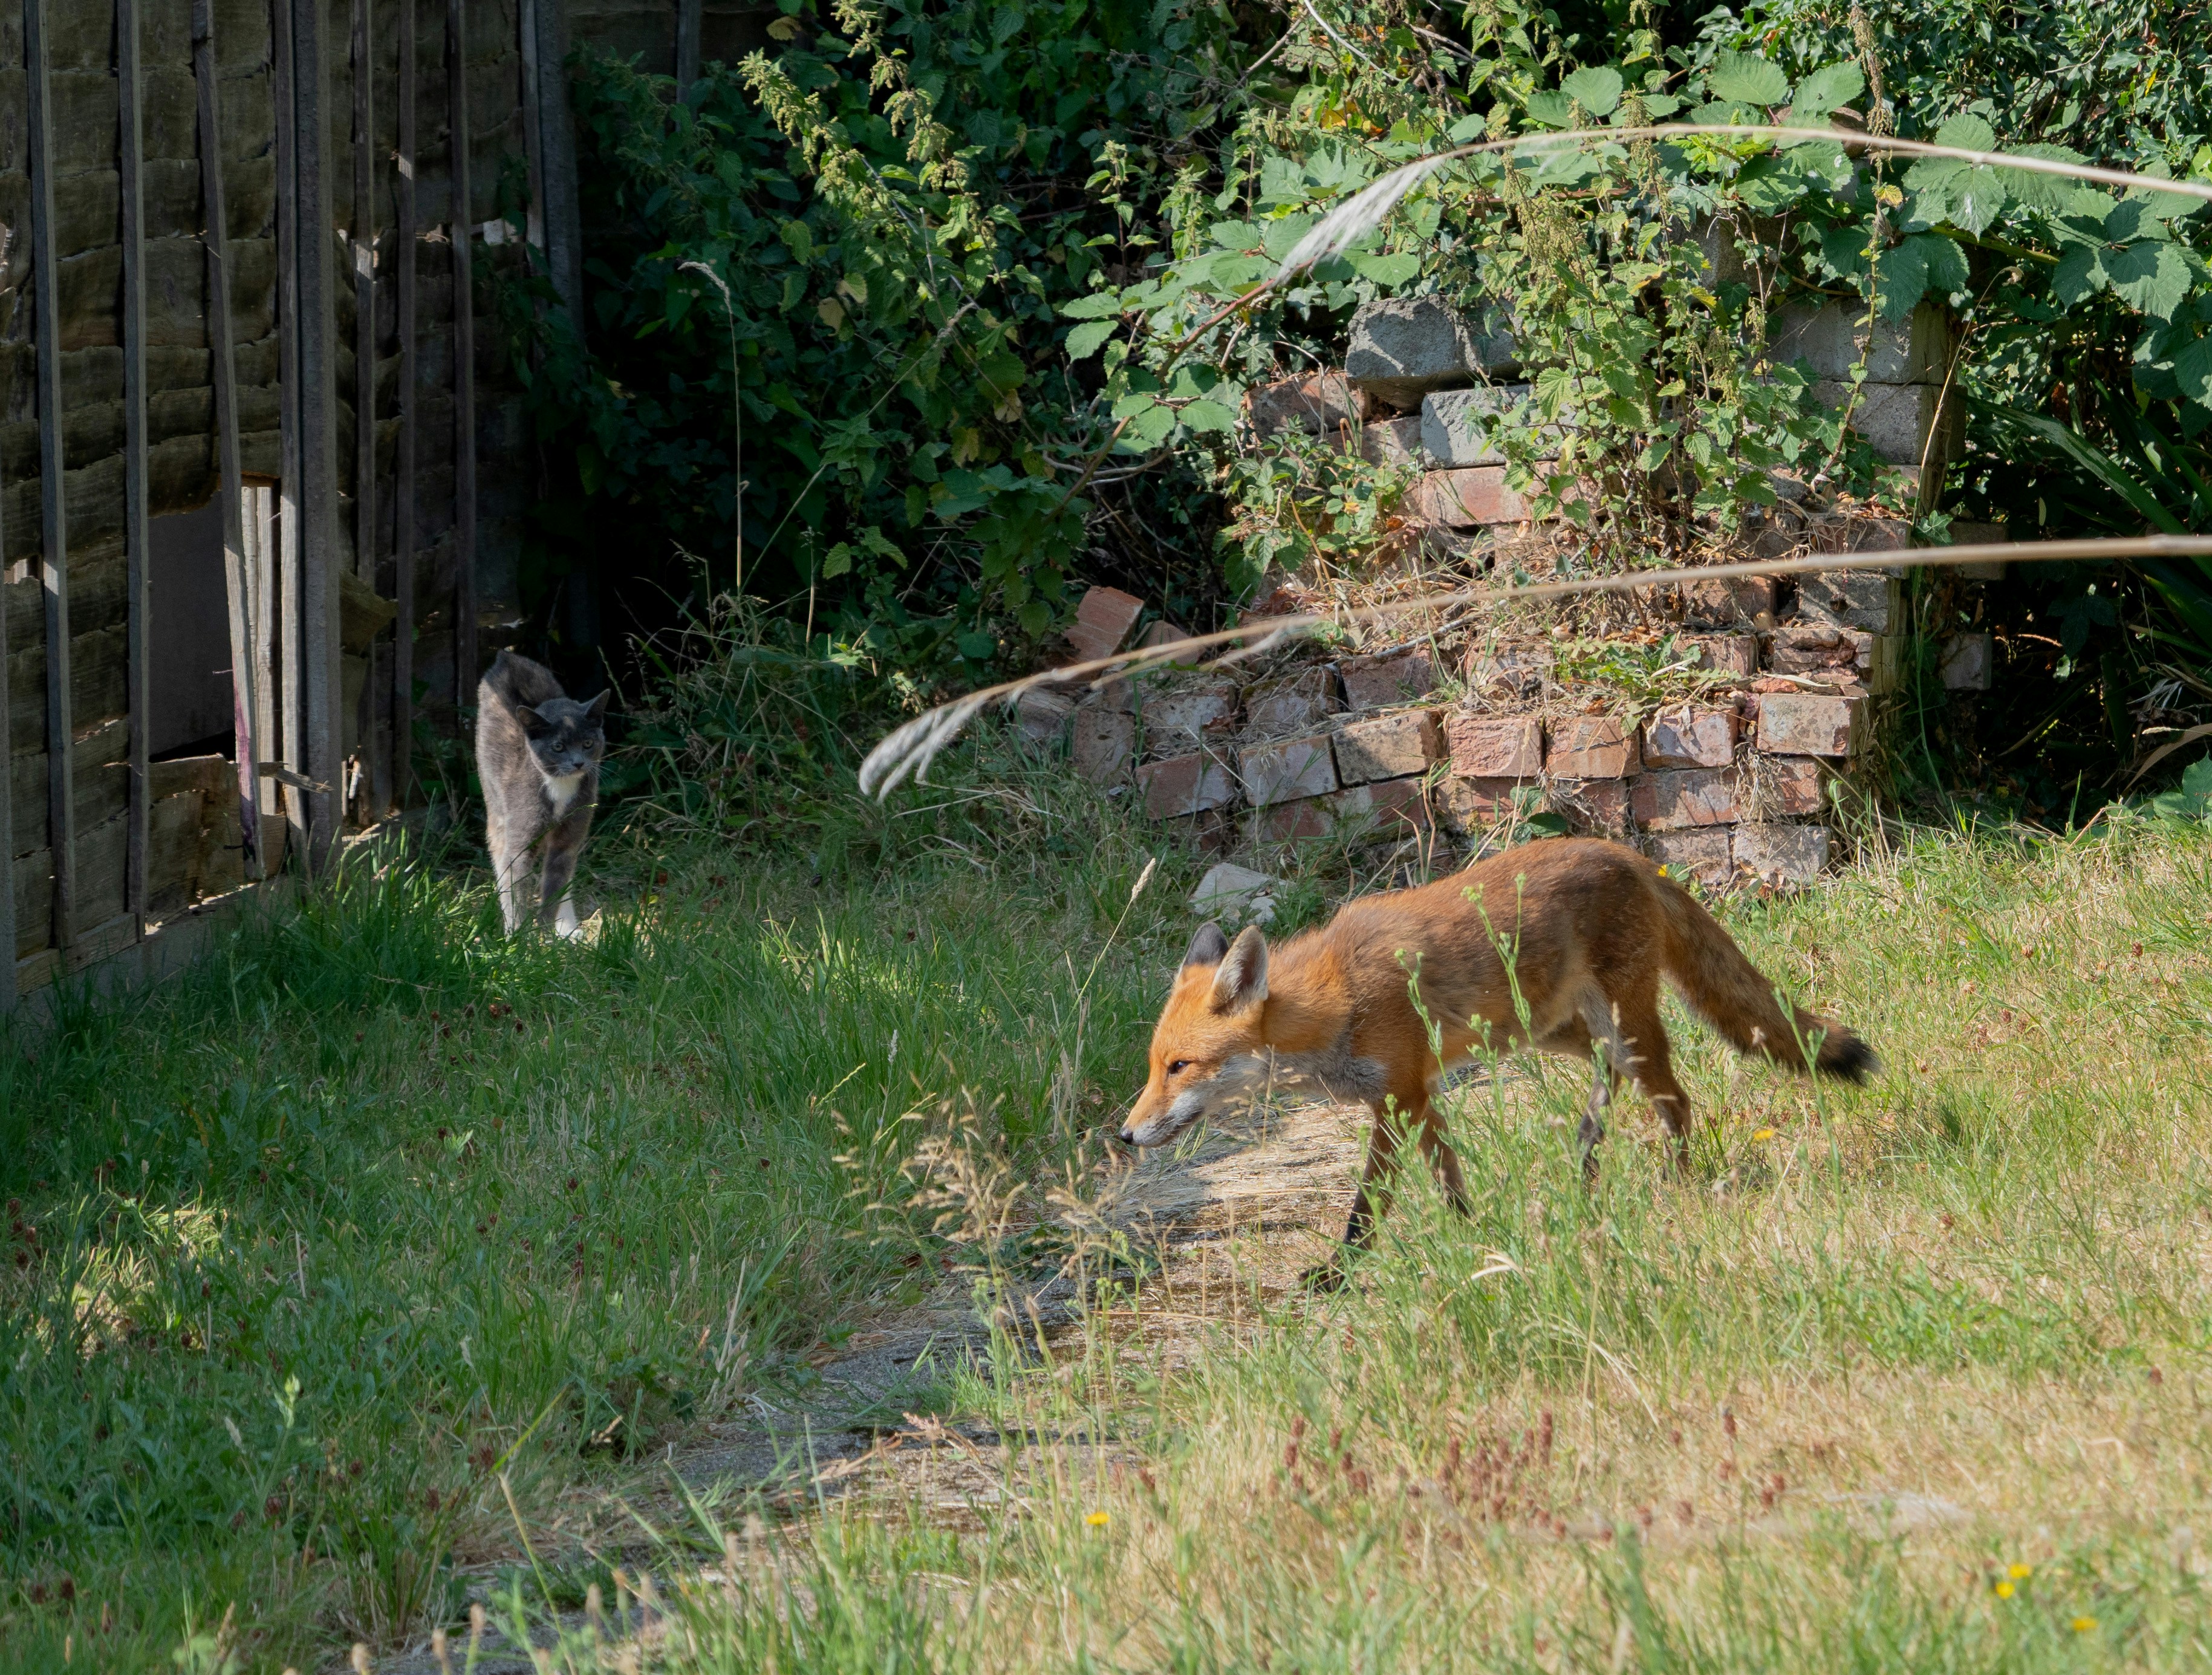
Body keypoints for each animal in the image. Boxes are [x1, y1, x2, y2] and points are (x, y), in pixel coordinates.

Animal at [1118, 836, 1874, 1258]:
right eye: (1153, 1067)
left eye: (1181, 1066)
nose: (1124, 1135)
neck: (1336, 1003)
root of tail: (1627, 852)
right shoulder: (1416, 1098)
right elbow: (1448, 1182)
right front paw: (1472, 1234)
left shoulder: (1399, 1095)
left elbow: (1367, 1205)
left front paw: (1337, 1275)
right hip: (1554, 1029)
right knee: (1612, 1073)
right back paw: (1585, 1158)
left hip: (1620, 1019)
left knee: (1674, 1097)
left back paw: (1679, 1182)